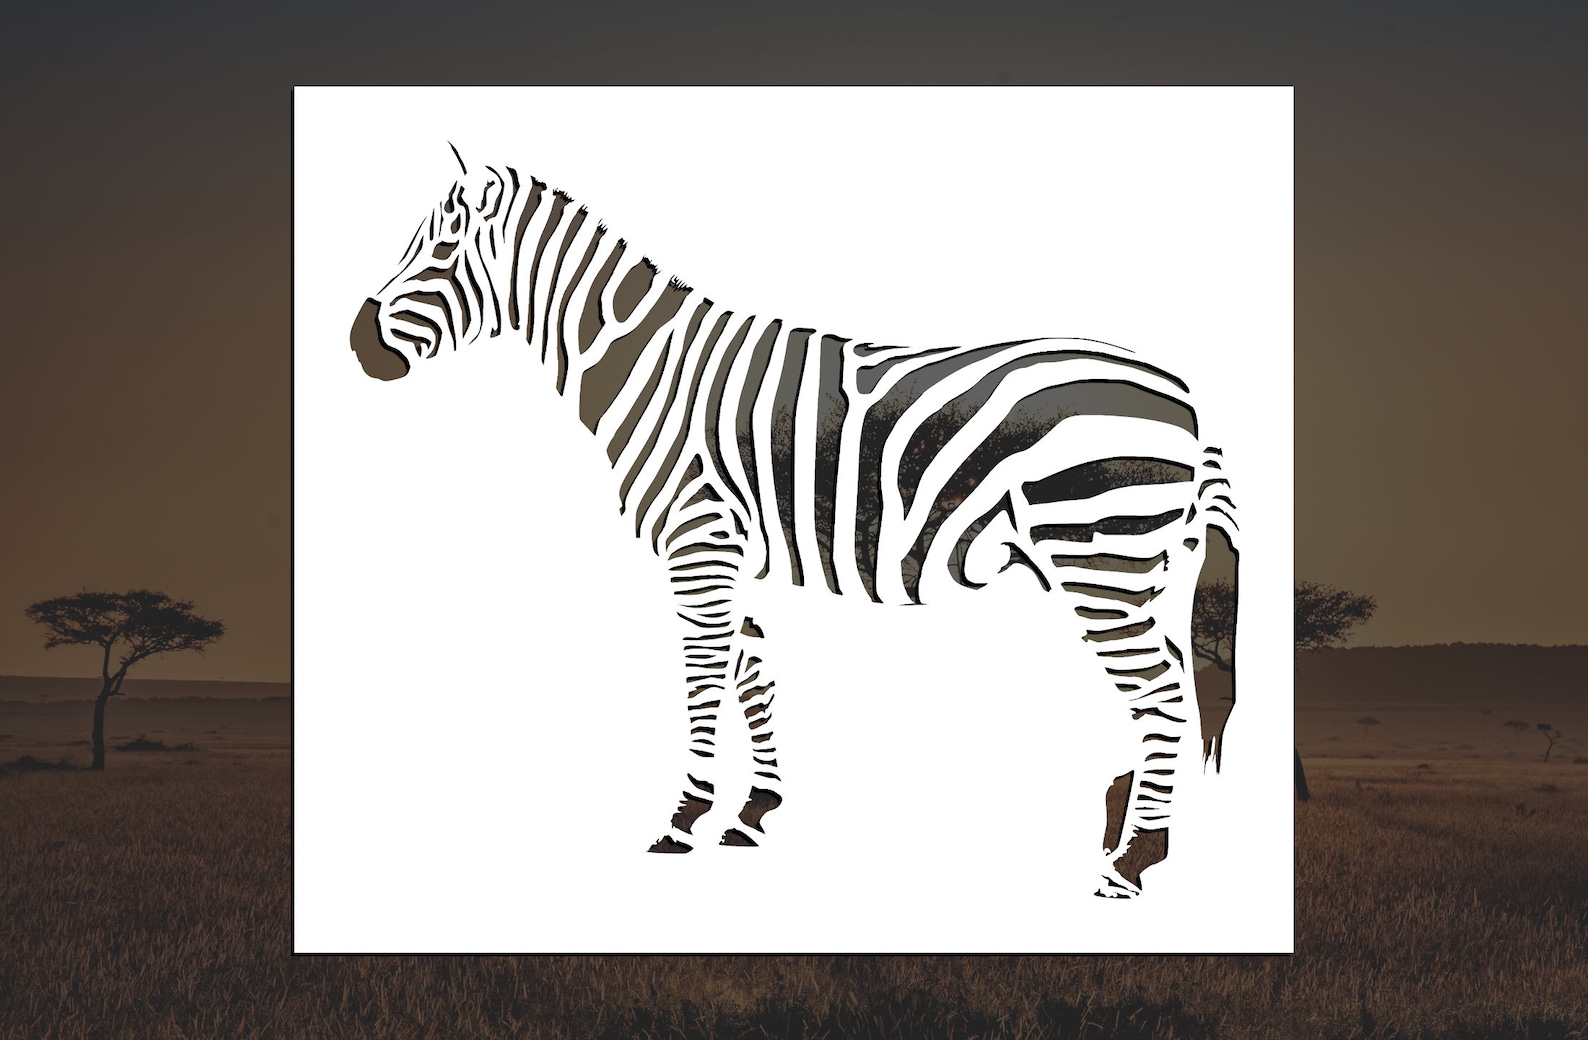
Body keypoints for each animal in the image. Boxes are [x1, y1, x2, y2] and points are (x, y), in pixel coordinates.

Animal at [347, 151, 1240, 898]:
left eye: (439, 253)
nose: (356, 343)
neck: (649, 368)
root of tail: (1187, 399)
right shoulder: (728, 548)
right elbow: (752, 669)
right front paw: (752, 812)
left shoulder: (697, 538)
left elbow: (705, 676)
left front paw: (684, 820)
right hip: (1134, 564)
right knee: (1164, 683)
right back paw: (1127, 830)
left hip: (1100, 550)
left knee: (1159, 692)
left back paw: (1132, 862)